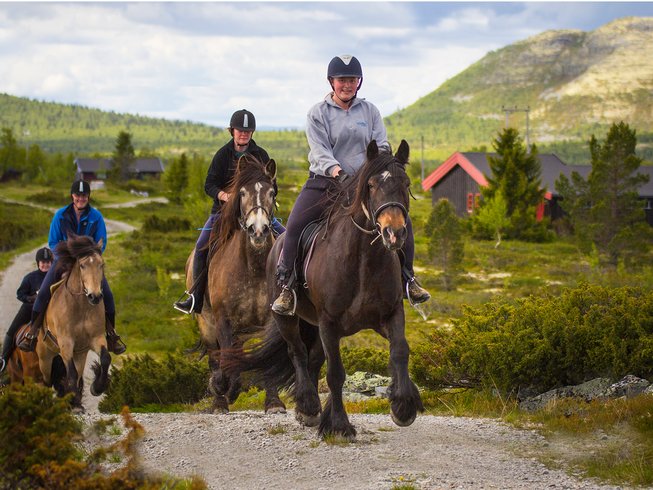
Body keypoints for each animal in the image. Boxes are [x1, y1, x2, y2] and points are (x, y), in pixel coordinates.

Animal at [35, 234, 111, 409]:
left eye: (101, 264)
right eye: (82, 265)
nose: (95, 296)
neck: (81, 307)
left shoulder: (96, 338)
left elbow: (105, 359)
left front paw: (97, 388)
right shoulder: (66, 342)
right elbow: (71, 372)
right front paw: (75, 404)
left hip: (80, 354)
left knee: (78, 375)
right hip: (44, 356)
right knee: (47, 380)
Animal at [186, 155, 286, 414]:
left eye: (272, 192)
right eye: (241, 193)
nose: (258, 231)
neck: (252, 267)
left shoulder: (269, 320)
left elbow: (265, 360)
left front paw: (274, 403)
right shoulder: (223, 320)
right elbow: (222, 360)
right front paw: (221, 391)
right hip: (207, 324)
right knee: (215, 356)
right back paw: (220, 397)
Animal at [228, 139, 424, 439]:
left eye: (406, 182)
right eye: (371, 185)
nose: (394, 233)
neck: (362, 261)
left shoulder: (390, 314)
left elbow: (400, 351)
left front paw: (403, 407)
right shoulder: (330, 322)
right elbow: (335, 373)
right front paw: (340, 425)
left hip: (317, 327)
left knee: (313, 359)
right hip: (288, 318)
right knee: (297, 352)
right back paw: (308, 407)